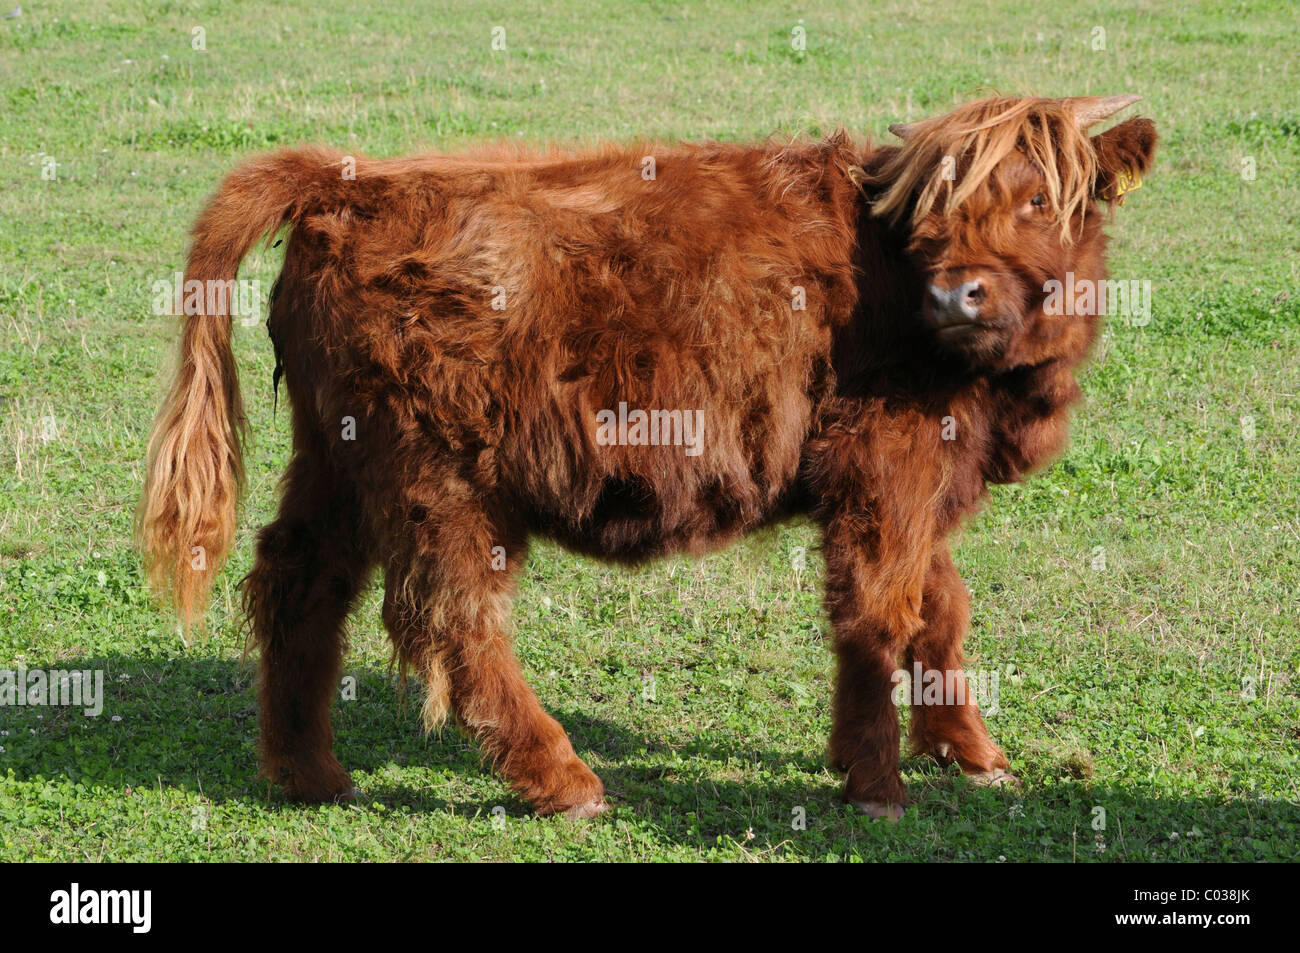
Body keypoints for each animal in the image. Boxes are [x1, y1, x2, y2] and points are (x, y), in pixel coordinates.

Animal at [138, 95, 1157, 819]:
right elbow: (881, 612)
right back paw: (563, 780)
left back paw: (308, 771)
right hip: (442, 481)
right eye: (933, 216)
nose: (957, 295)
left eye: (1039, 199)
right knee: (452, 618)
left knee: (298, 582)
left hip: (338, 462)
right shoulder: (884, 468)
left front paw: (970, 754)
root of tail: (348, 183)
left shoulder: (918, 485)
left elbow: (940, 609)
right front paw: (876, 784)